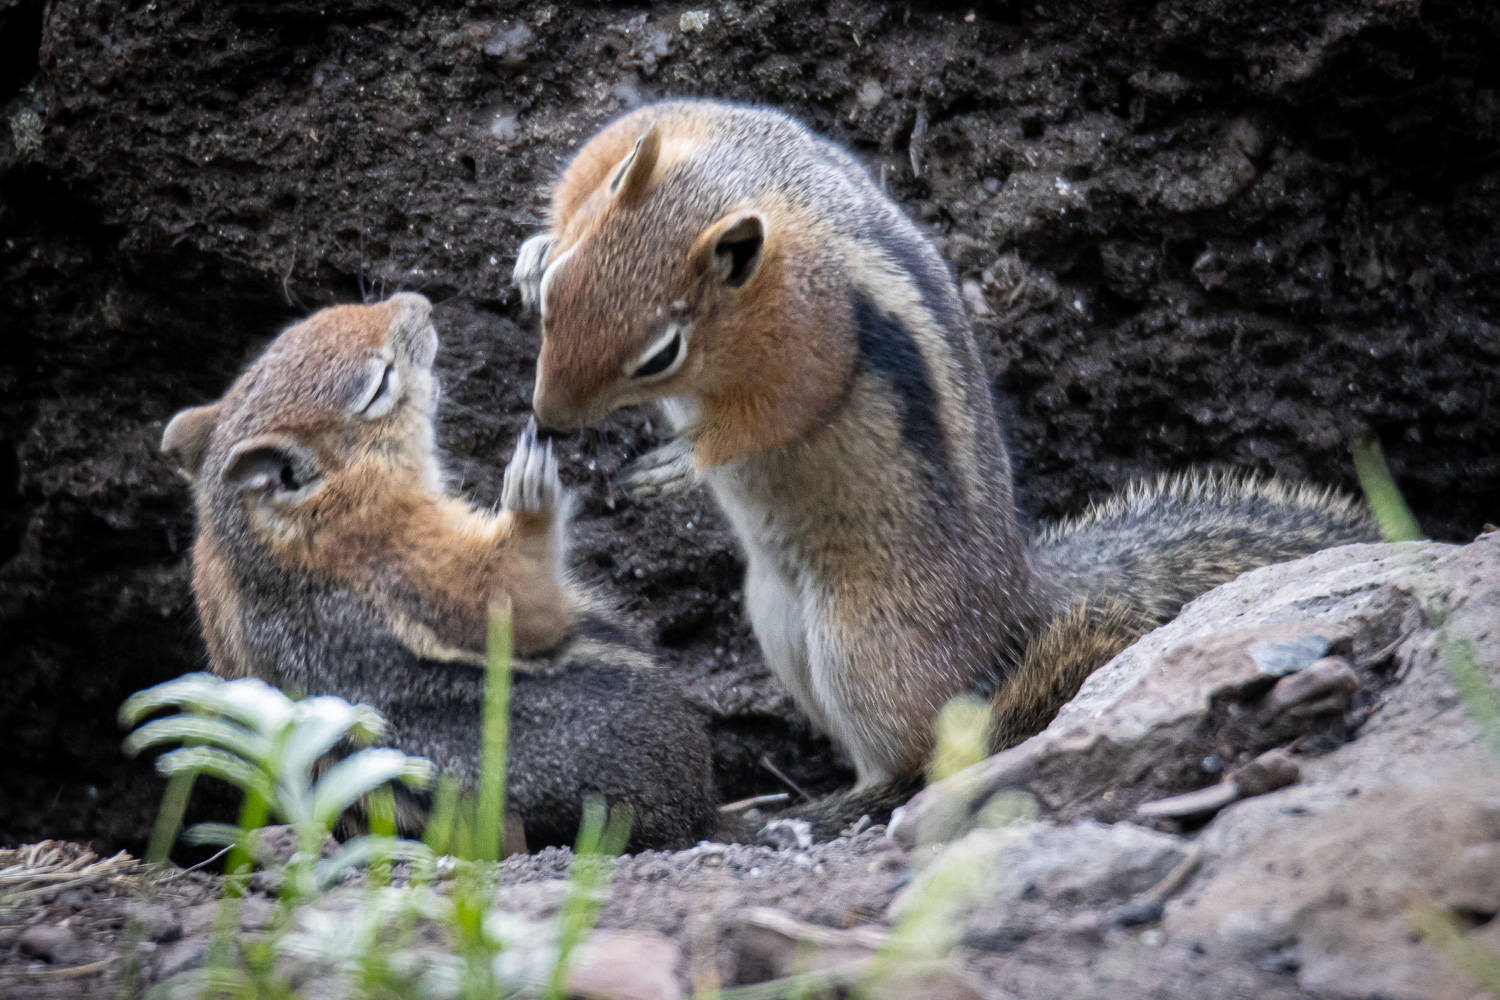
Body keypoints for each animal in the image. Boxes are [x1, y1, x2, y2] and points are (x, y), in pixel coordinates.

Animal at [159, 292, 716, 851]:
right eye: (379, 386)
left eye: (297, 328)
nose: (420, 303)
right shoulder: (412, 565)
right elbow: (521, 606)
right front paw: (529, 490)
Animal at [510, 100, 1378, 829]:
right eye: (557, 291)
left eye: (660, 354)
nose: (546, 417)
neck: (746, 181)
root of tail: (1021, 593)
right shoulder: (673, 124)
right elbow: (597, 150)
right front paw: (529, 249)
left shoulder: (811, 331)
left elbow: (777, 411)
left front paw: (682, 459)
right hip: (778, 621)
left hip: (867, 644)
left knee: (923, 752)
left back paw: (822, 808)